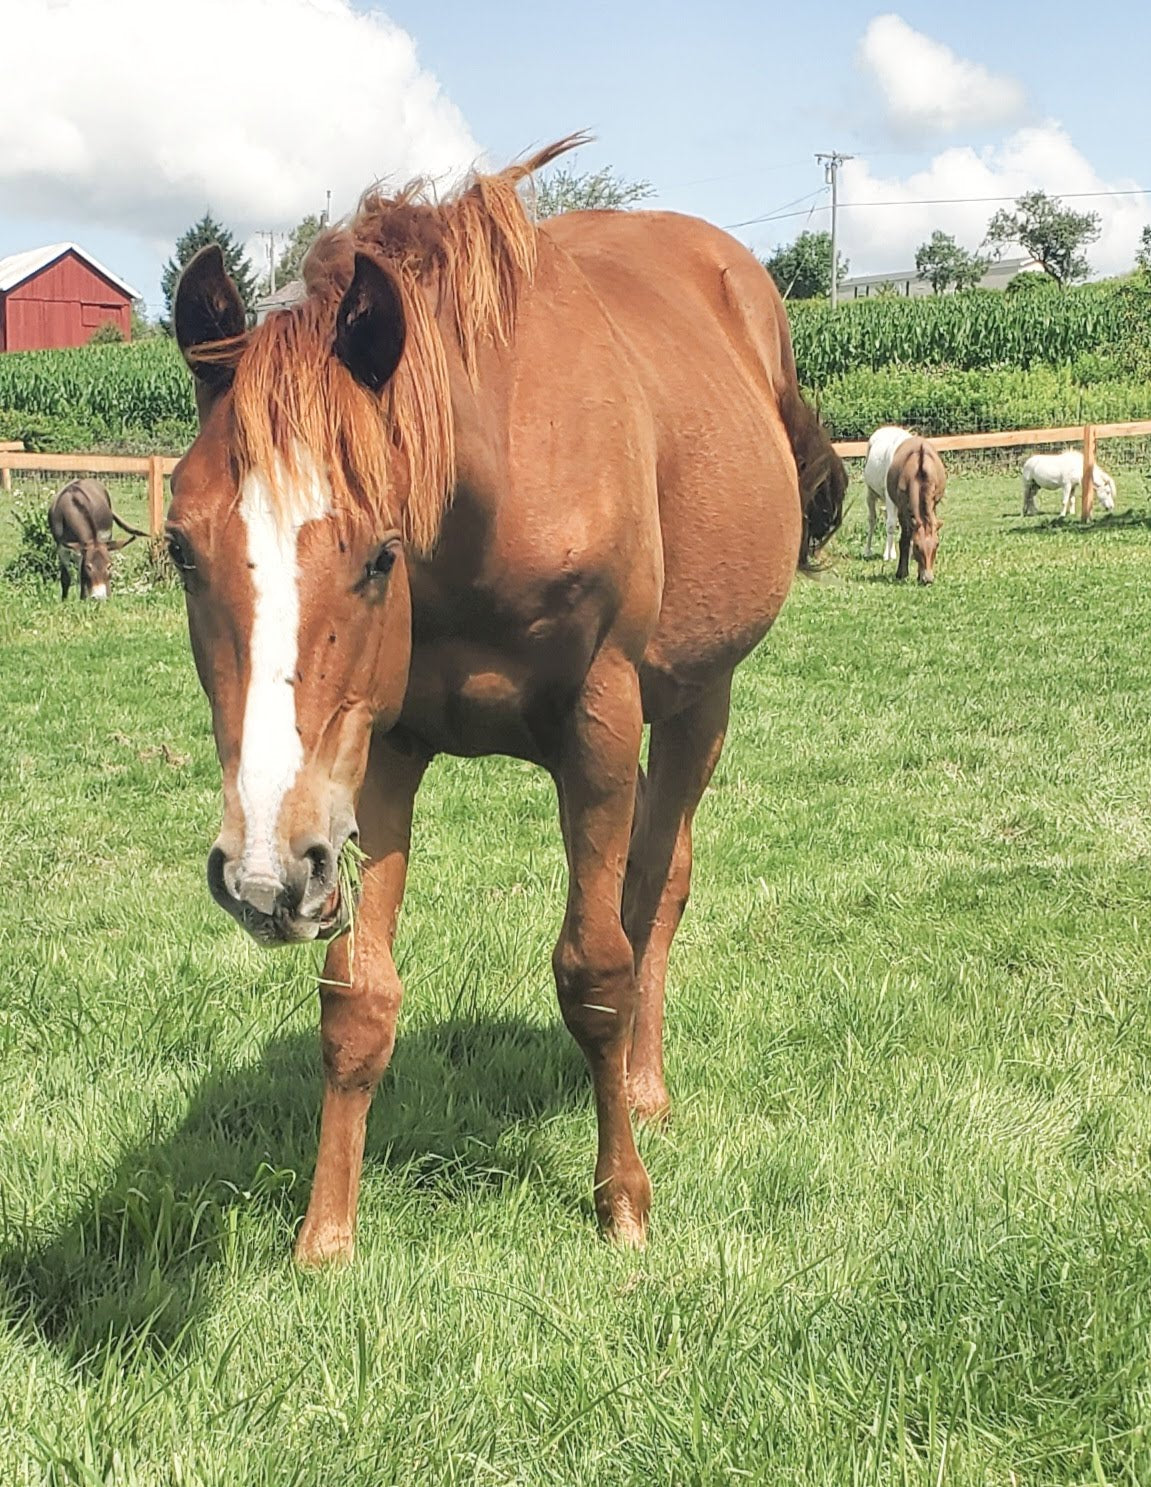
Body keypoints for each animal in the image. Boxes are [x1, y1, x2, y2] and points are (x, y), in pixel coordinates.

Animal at [168, 136, 843, 1266]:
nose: (264, 873)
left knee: (658, 885)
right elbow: (357, 996)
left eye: (378, 553)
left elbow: (595, 968)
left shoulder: (599, 727)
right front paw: (325, 1234)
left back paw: (645, 1089)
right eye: (178, 547)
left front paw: (622, 1202)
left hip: (697, 703)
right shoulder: (377, 753)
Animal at [886, 436, 947, 584]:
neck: (919, 476)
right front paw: (902, 572)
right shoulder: (902, 509)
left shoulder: (934, 504)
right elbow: (905, 538)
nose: (928, 579)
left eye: (937, 545)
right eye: (917, 547)